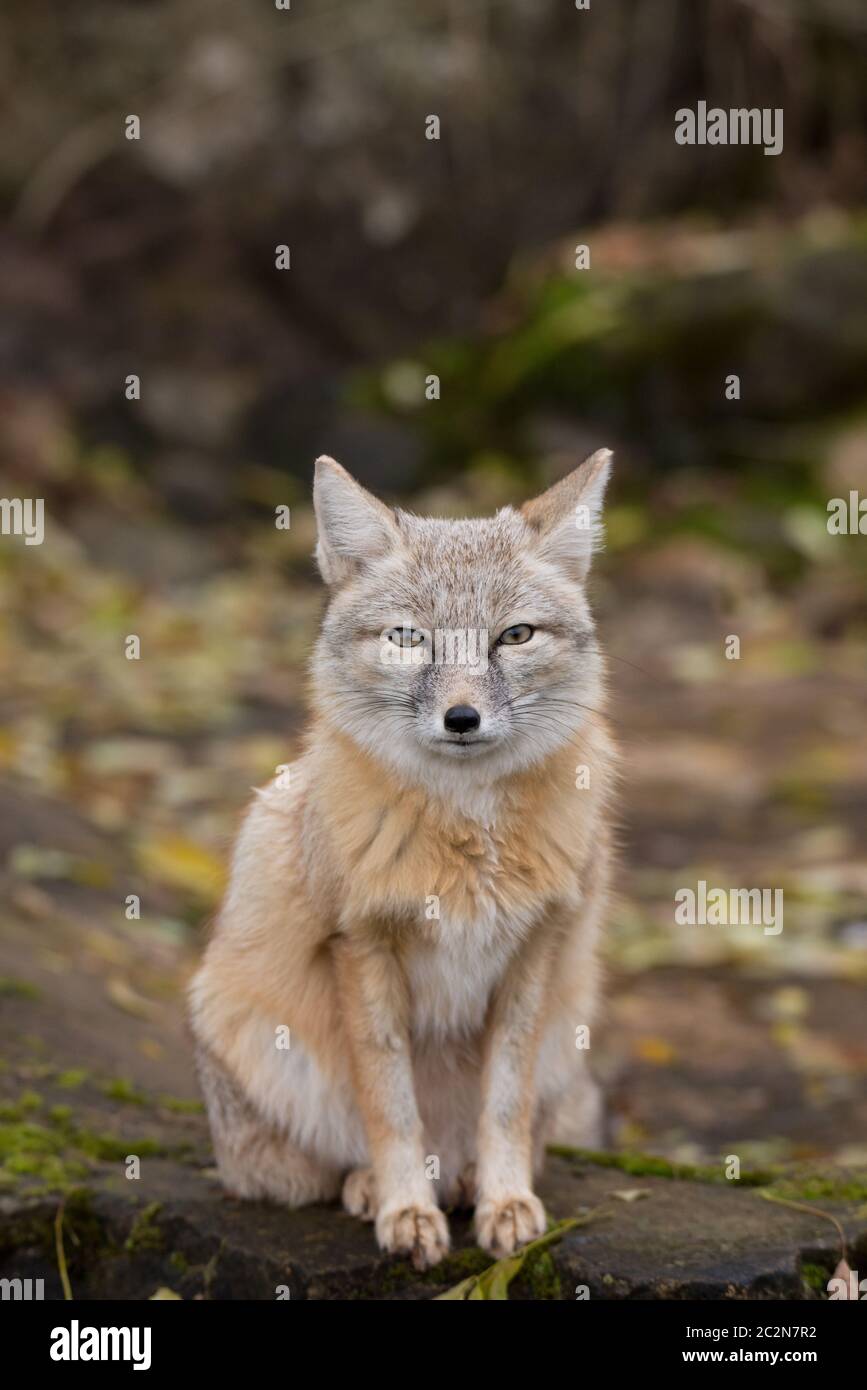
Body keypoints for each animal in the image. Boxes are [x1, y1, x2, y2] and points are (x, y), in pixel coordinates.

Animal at [189, 448, 617, 1271]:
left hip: (570, 1022)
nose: (462, 717)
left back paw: (470, 1181)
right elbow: (390, 1104)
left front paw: (506, 1200)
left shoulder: (534, 948)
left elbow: (505, 1103)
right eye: (409, 639)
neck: (468, 839)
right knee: (331, 1157)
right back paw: (377, 1186)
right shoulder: (361, 946)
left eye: (514, 636)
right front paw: (403, 1208)